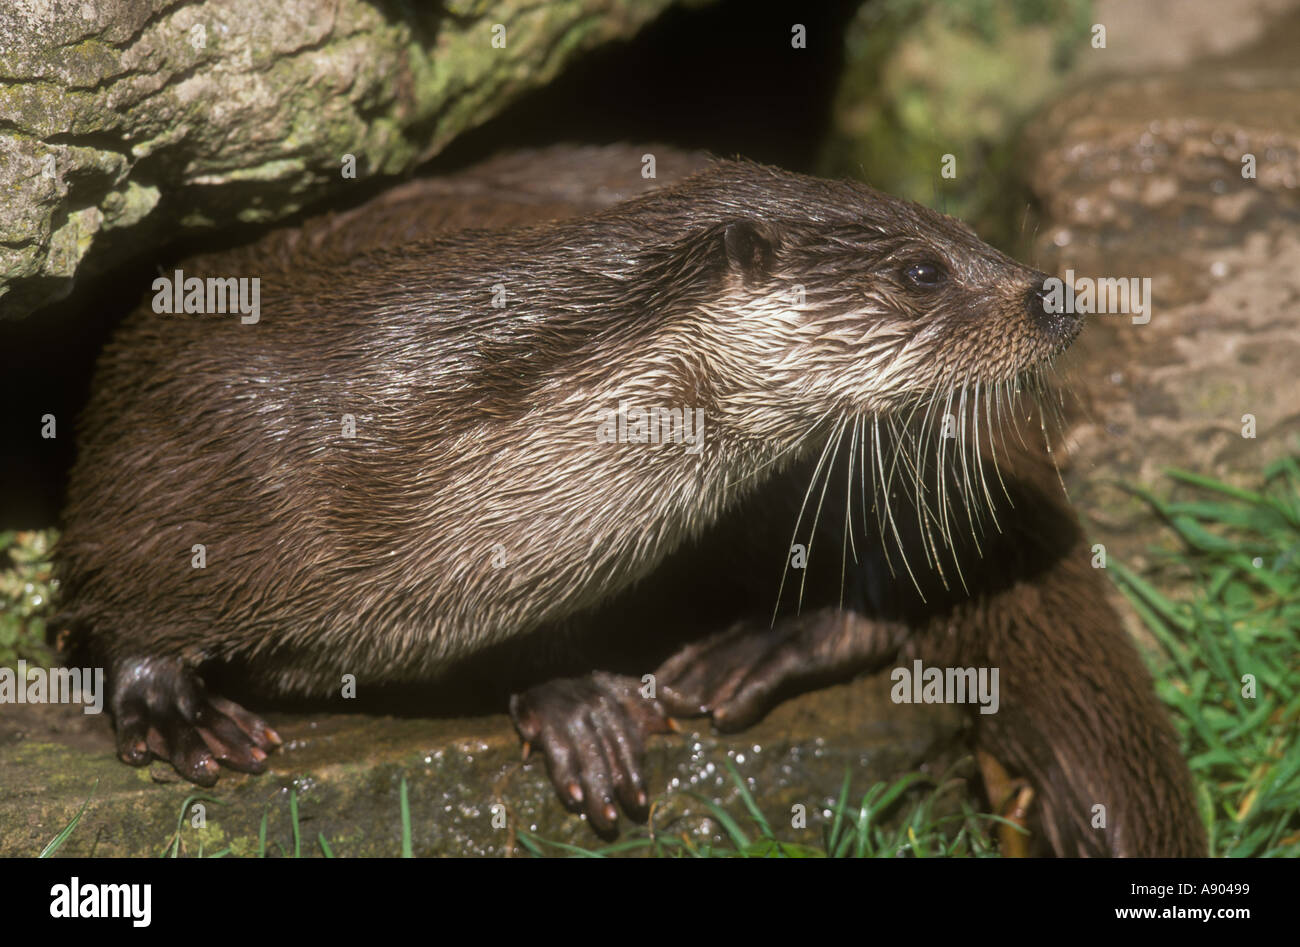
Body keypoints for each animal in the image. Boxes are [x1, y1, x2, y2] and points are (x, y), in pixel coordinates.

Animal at [55, 155, 1204, 856]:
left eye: (972, 231)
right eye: (922, 269)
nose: (1055, 294)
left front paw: (574, 699)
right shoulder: (172, 441)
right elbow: (119, 593)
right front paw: (168, 702)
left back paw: (752, 649)